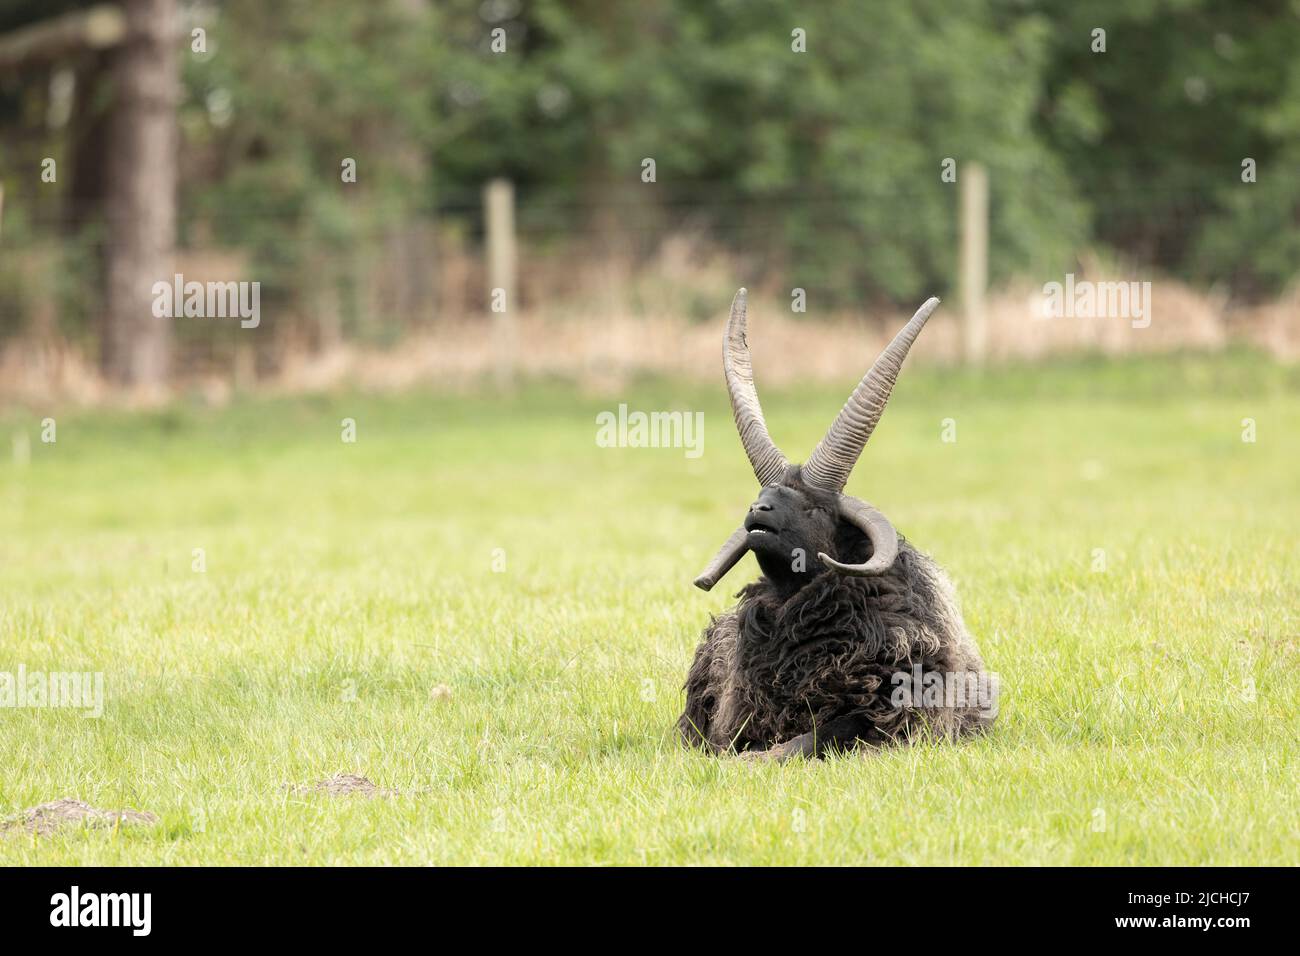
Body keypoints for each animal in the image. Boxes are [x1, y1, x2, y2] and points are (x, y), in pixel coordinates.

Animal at [678, 290, 997, 761]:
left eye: (815, 508)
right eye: (765, 492)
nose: (757, 512)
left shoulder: (887, 717)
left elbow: (814, 737)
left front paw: (756, 760)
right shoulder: (733, 723)